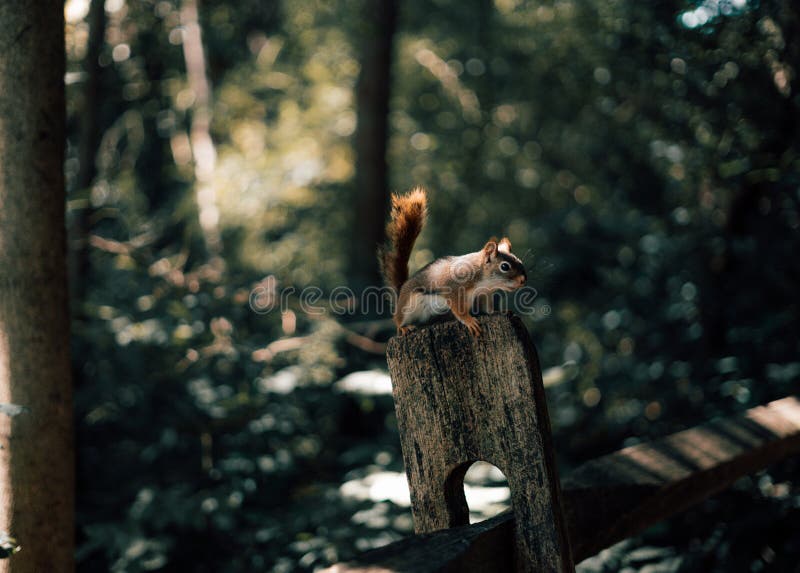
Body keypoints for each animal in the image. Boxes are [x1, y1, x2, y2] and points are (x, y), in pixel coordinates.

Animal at [378, 187, 527, 337]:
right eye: (505, 266)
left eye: (520, 261)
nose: (523, 280)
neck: (484, 281)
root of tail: (400, 294)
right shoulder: (453, 287)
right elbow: (458, 309)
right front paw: (469, 321)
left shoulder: (483, 294)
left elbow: (488, 308)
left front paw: (498, 311)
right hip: (407, 306)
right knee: (397, 320)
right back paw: (404, 327)